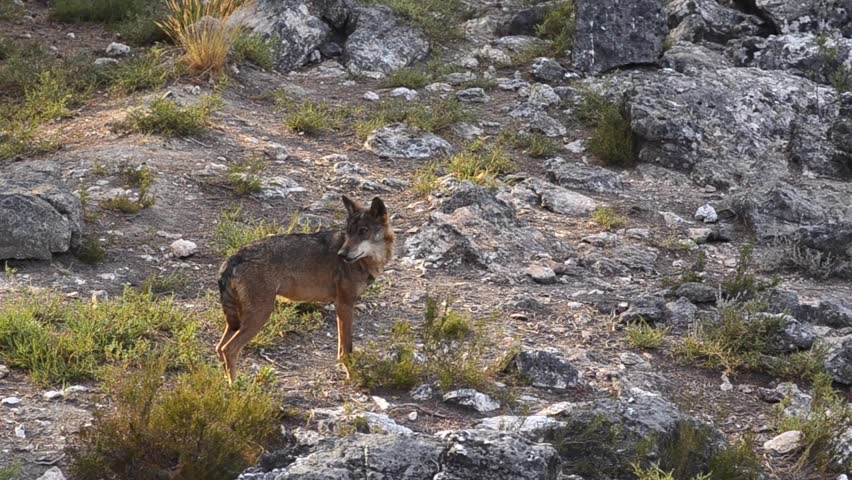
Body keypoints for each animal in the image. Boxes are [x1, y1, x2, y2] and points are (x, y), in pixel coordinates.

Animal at [216, 196, 394, 383]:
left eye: (363, 231)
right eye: (348, 233)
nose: (341, 255)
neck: (368, 262)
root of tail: (233, 257)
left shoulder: (341, 305)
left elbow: (342, 347)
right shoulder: (345, 304)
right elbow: (346, 350)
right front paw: (352, 376)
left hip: (238, 319)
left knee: (219, 348)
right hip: (260, 315)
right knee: (228, 349)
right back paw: (235, 385)